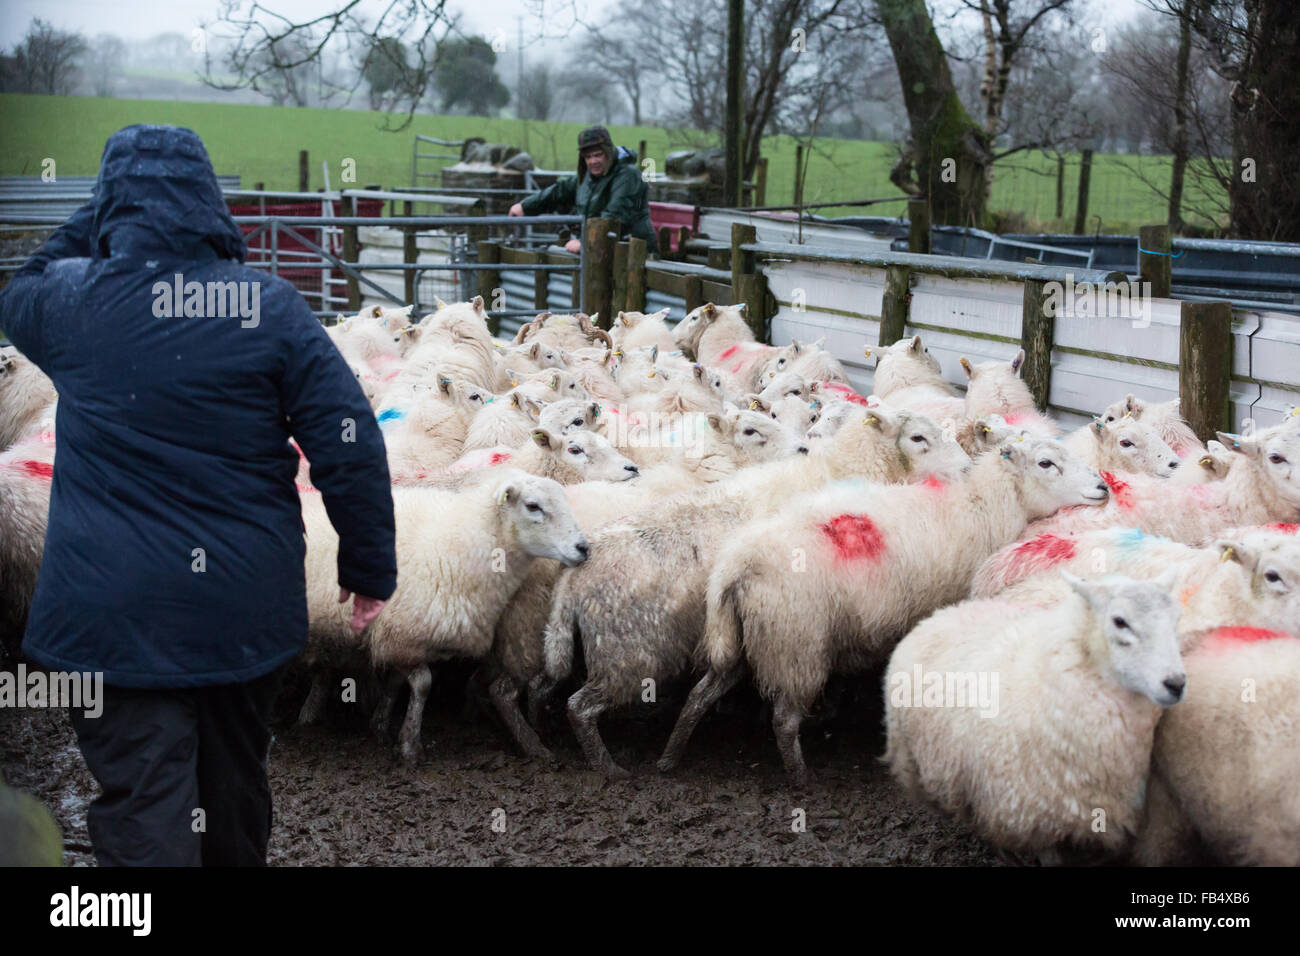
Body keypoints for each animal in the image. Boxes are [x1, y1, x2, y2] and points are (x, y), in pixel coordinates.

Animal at [299, 470, 589, 760]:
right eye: (533, 506)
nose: (584, 547)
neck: (454, 545)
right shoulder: (402, 635)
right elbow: (423, 684)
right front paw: (410, 745)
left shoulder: (399, 642)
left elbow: (395, 683)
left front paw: (381, 726)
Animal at [543, 407, 973, 776]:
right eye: (918, 437)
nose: (969, 467)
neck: (838, 468)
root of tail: (575, 575)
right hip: (629, 655)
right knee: (579, 708)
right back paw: (608, 767)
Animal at [671, 437, 1108, 782]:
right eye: (1046, 463)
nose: (1103, 486)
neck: (981, 505)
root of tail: (734, 567)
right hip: (797, 645)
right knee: (783, 719)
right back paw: (799, 778)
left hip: (744, 641)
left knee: (699, 694)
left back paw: (671, 756)